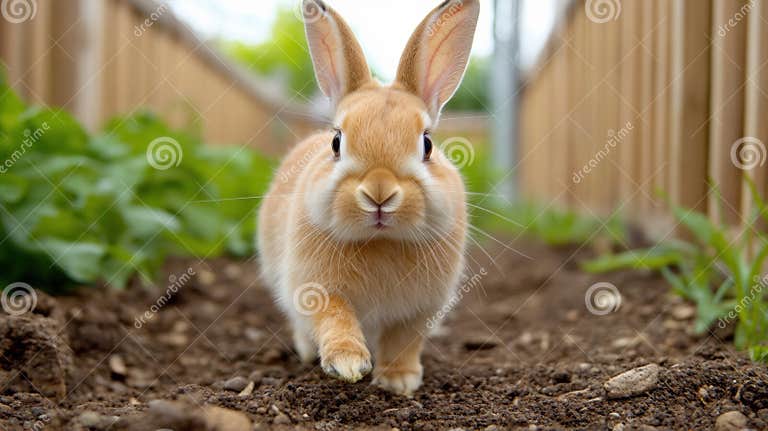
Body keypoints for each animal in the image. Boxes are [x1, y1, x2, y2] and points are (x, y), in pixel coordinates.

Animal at [257, 0, 479, 396]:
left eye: (427, 144)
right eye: (336, 142)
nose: (379, 192)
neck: (381, 241)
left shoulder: (417, 311)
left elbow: (403, 340)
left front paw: (400, 381)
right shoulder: (314, 289)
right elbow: (334, 316)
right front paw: (347, 363)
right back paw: (307, 353)